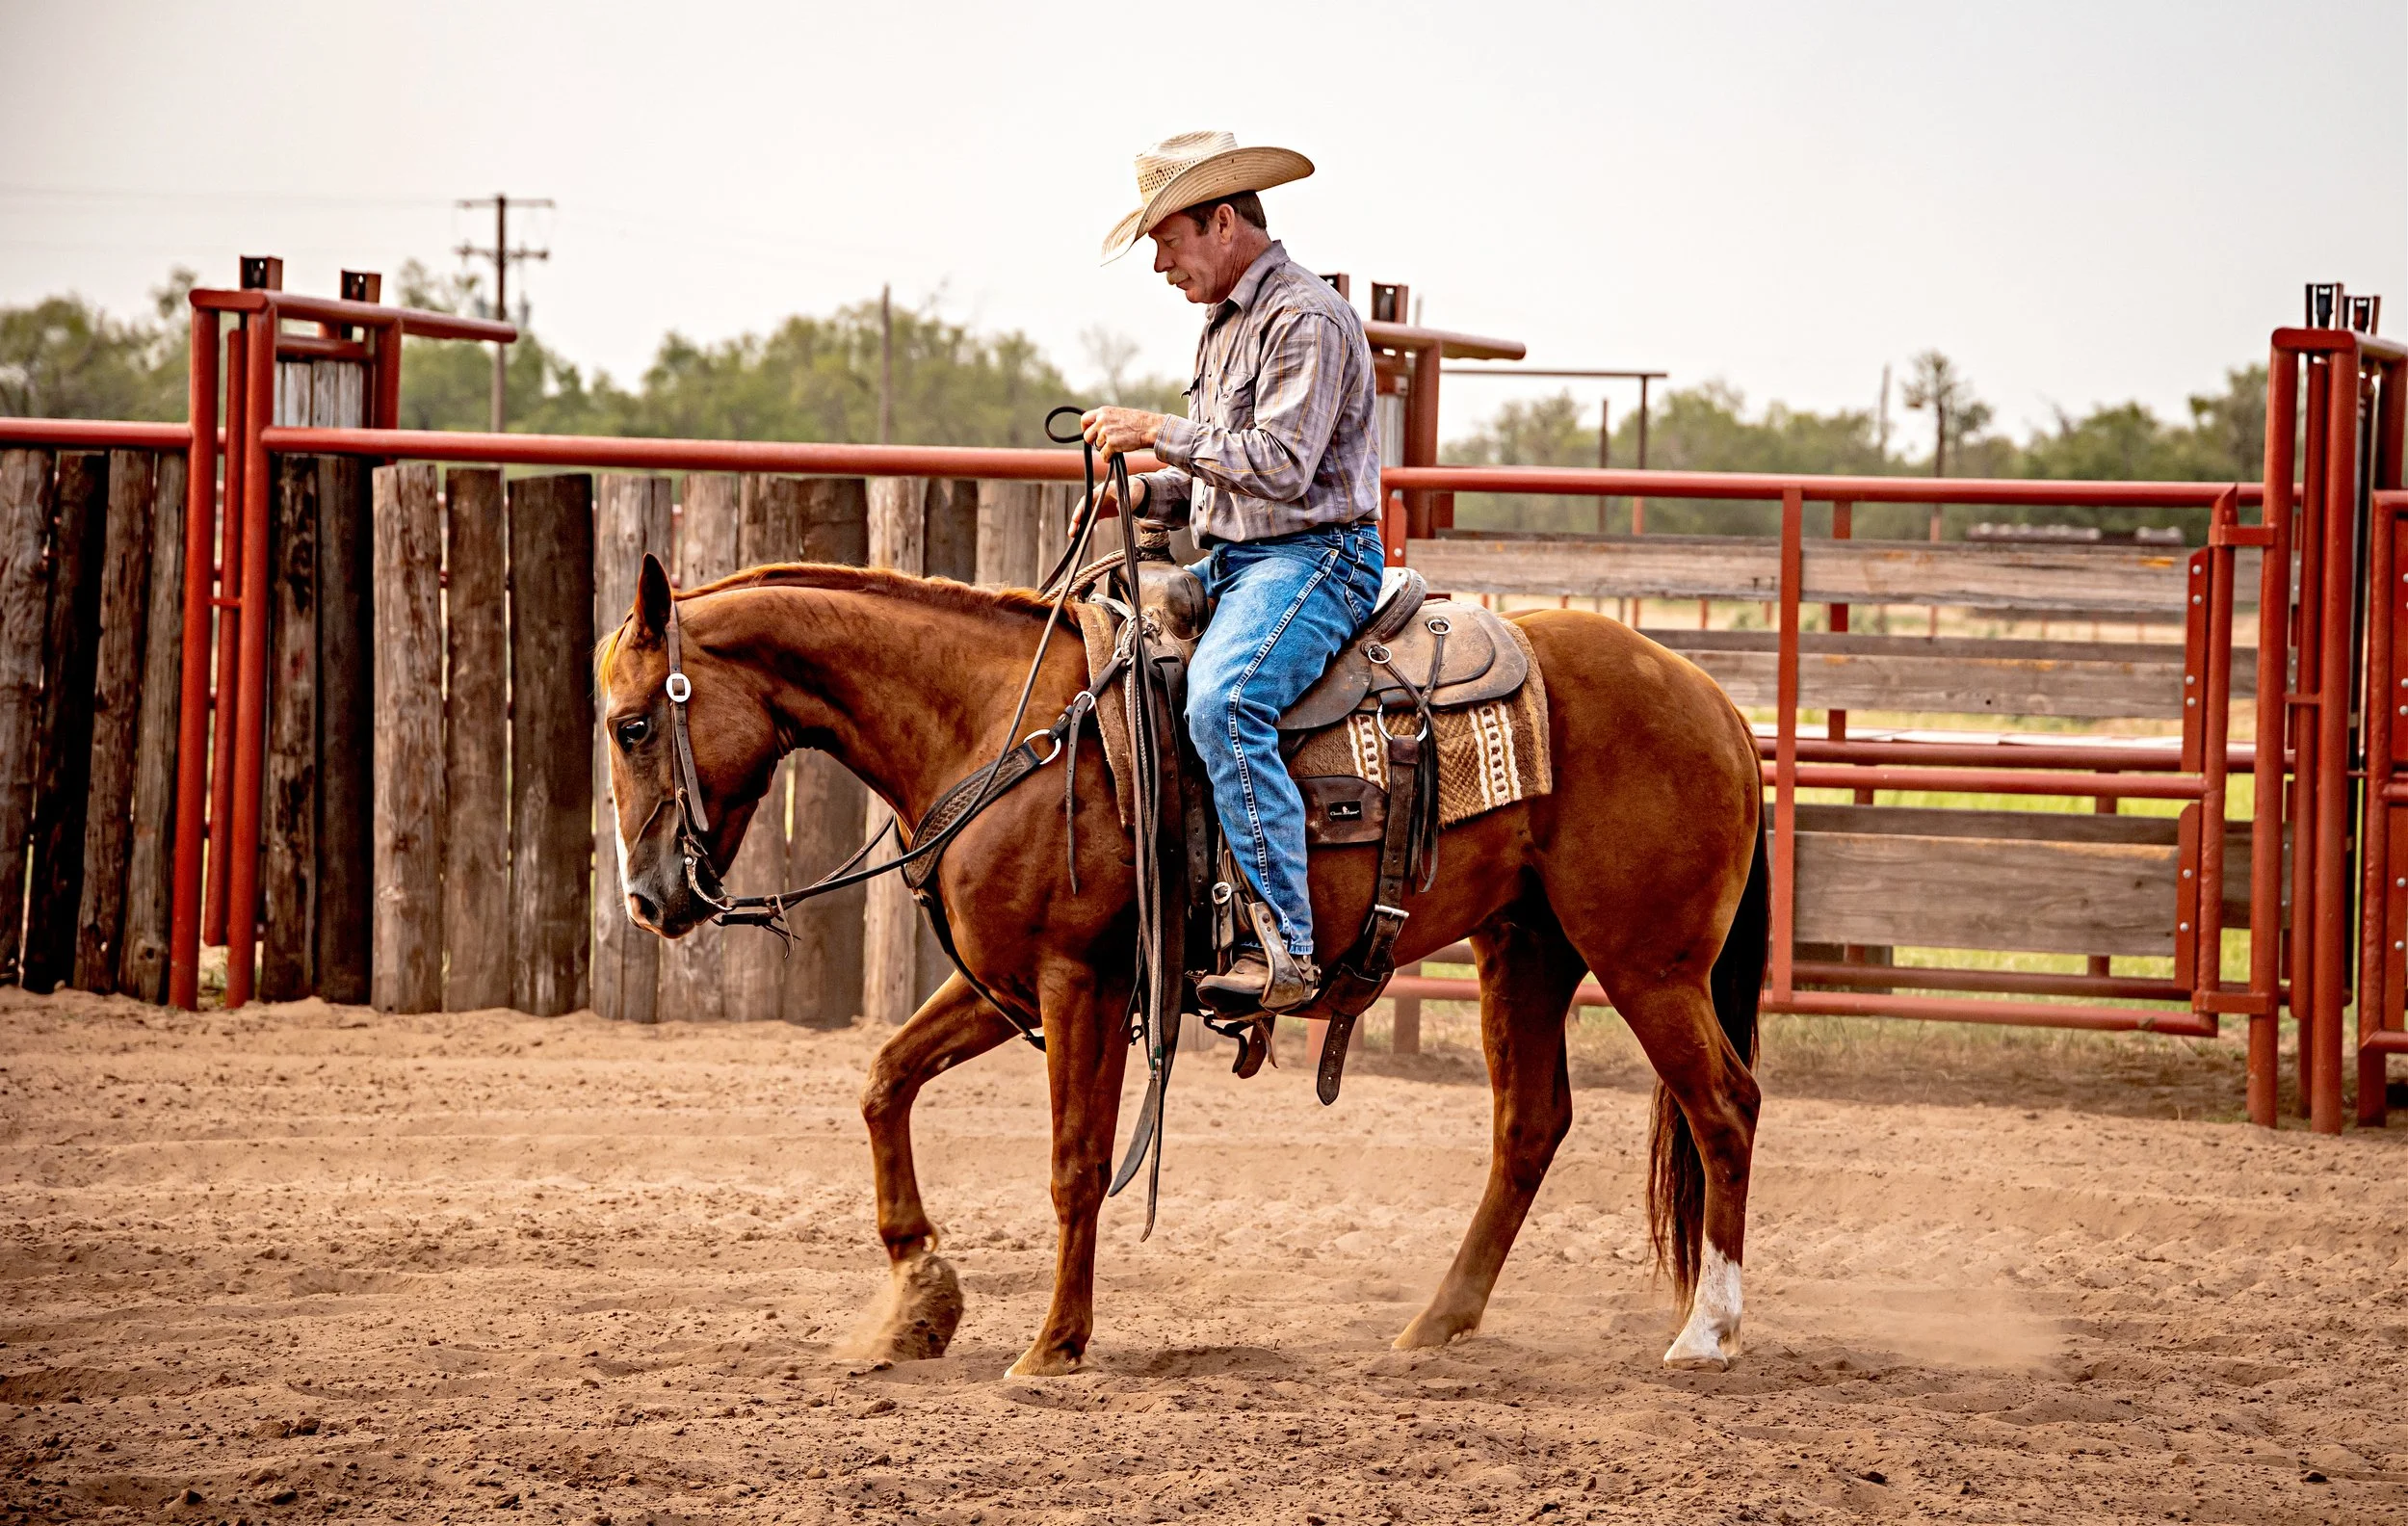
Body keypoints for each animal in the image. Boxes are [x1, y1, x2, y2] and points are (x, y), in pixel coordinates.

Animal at [596, 554, 1767, 1377]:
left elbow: (1075, 1164)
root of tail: (1714, 700)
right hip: (1524, 949)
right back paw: (1435, 1324)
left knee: (1723, 1105)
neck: (1001, 727)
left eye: (632, 723)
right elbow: (885, 1081)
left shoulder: (1083, 979)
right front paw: (917, 1302)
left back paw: (1706, 1332)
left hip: (1646, 961)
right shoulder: (1001, 981)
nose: (650, 900)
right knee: (1530, 1125)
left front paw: (1052, 1346)